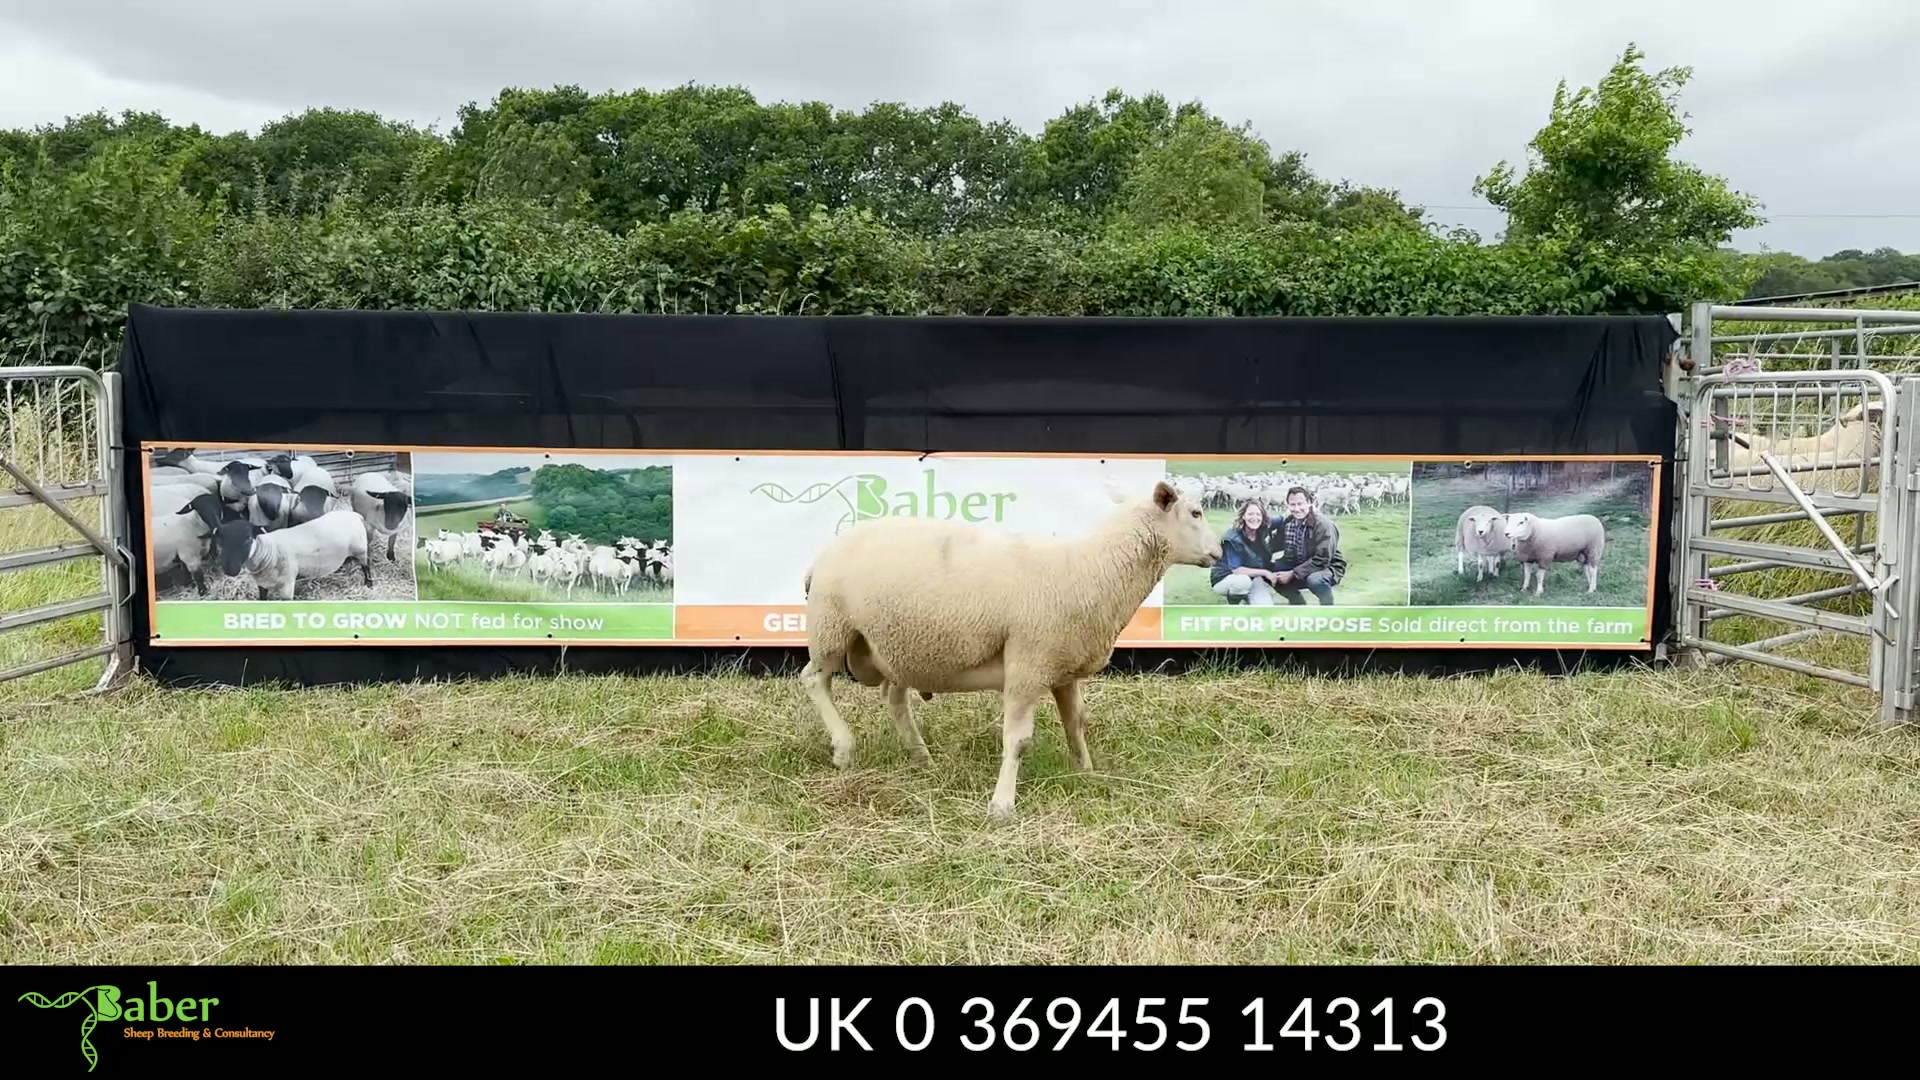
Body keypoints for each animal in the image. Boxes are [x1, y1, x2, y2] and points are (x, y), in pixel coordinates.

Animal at [211, 510, 371, 601]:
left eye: (248, 538)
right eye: (221, 540)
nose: (229, 569)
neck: (268, 551)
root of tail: (355, 515)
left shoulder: (287, 586)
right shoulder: (262, 584)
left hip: (361, 549)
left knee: (366, 566)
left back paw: (369, 584)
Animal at [797, 479, 1223, 820]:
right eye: (1196, 511)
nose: (1220, 551)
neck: (1089, 568)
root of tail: (818, 559)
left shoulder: (1062, 668)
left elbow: (1076, 723)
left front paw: (1086, 772)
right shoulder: (1027, 664)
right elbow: (1017, 741)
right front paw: (1002, 806)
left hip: (898, 646)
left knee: (894, 698)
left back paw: (921, 757)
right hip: (832, 627)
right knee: (813, 679)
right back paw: (844, 748)